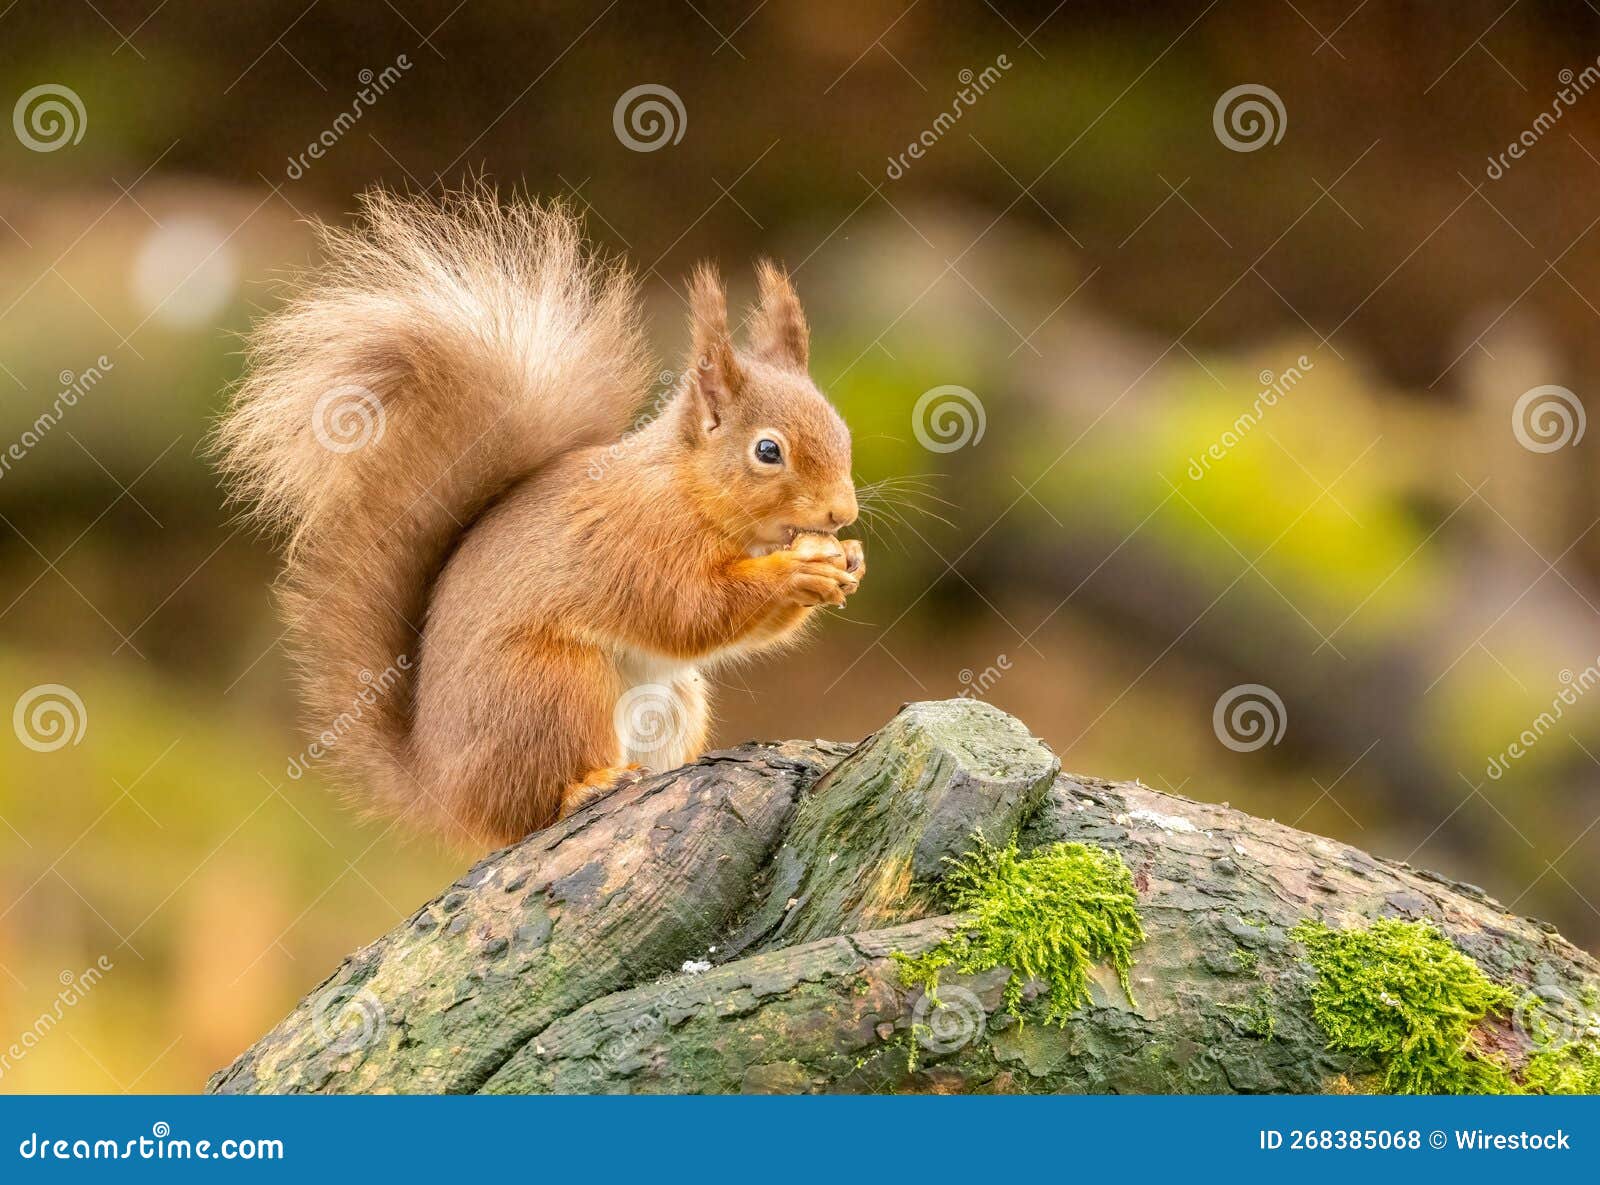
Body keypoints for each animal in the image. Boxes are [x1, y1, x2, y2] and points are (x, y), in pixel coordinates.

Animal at [216, 186, 864, 849]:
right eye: (768, 451)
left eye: (842, 431)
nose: (843, 512)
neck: (688, 489)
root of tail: (441, 789)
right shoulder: (638, 542)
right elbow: (689, 610)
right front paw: (795, 573)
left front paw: (849, 563)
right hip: (553, 686)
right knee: (534, 808)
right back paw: (588, 786)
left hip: (676, 701)